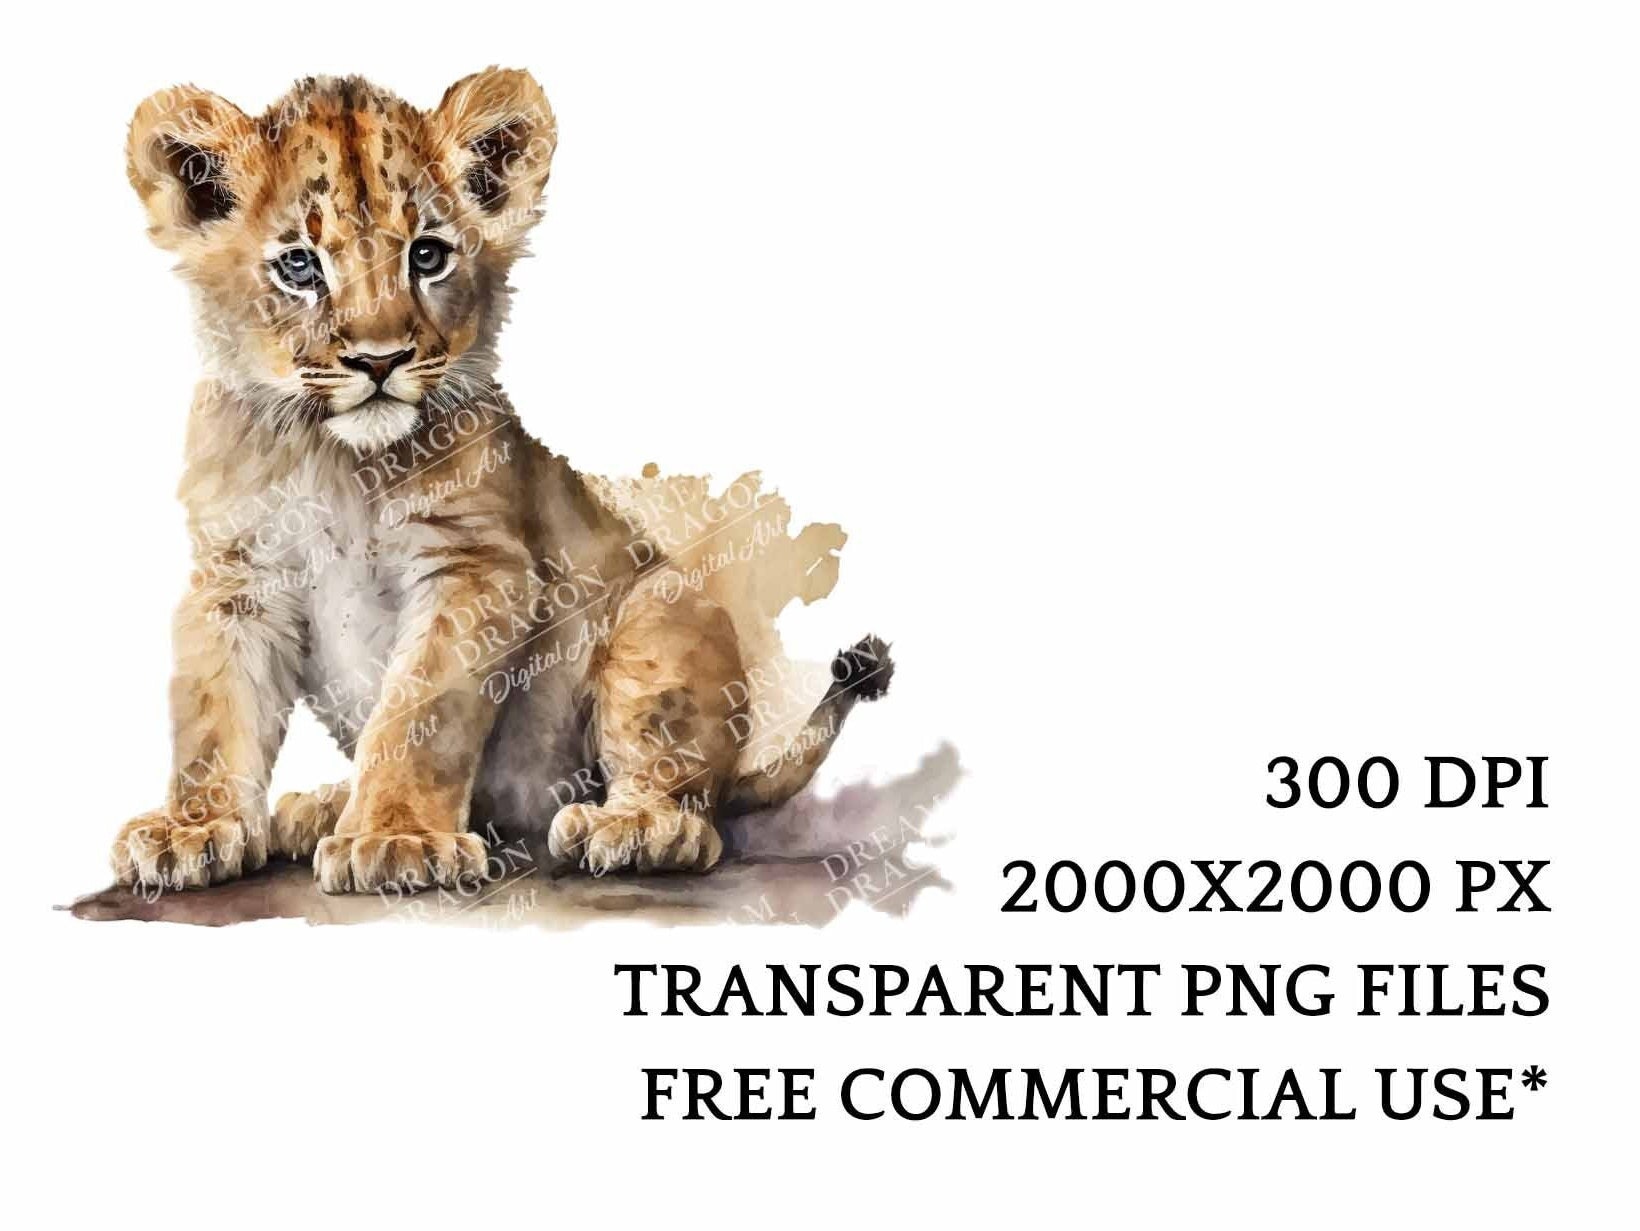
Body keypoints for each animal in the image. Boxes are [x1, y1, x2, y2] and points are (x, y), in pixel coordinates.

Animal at [111, 69, 891, 895]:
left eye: (427, 255)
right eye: (299, 266)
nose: (381, 359)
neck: (337, 458)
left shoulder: (478, 566)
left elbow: (418, 712)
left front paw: (395, 838)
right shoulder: (236, 576)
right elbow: (212, 714)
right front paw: (192, 829)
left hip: (663, 615)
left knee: (686, 795)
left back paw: (638, 827)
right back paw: (317, 805)